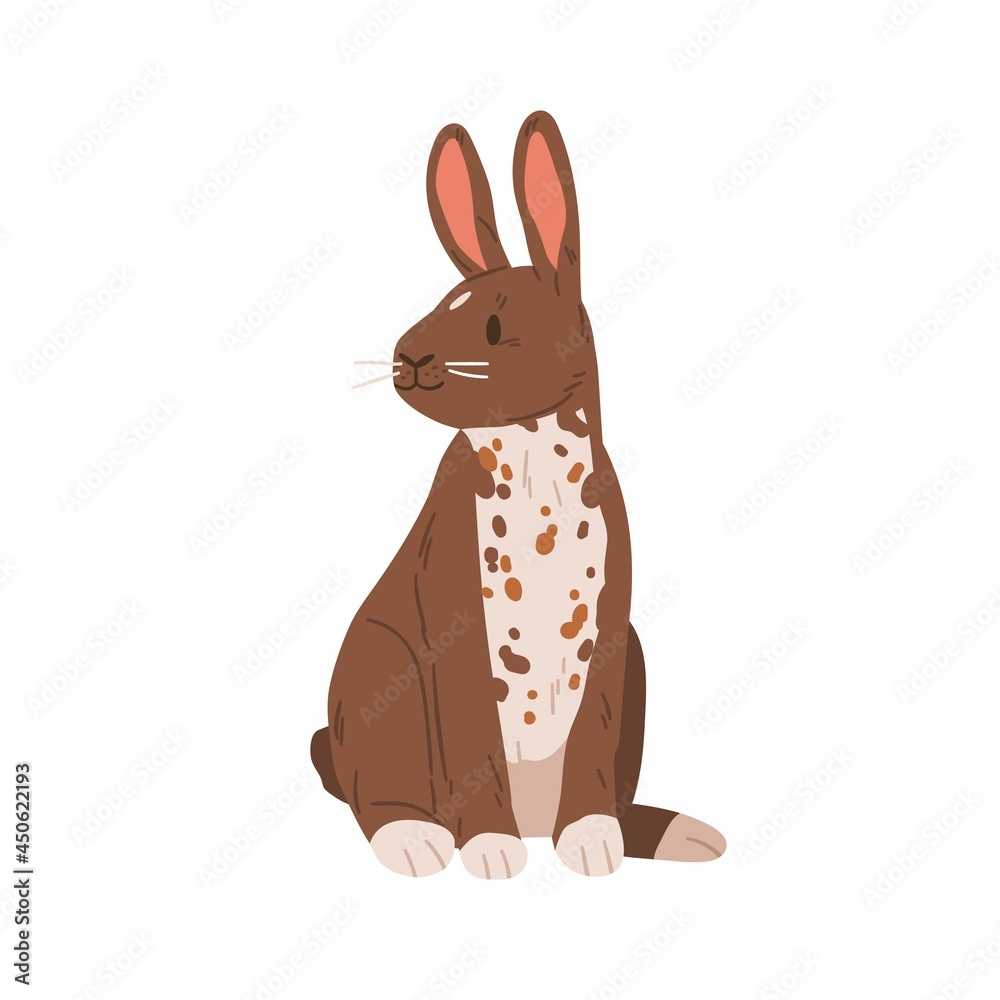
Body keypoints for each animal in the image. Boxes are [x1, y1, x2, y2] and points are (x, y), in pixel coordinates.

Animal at [311, 111, 725, 878]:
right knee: (374, 793)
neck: (535, 459)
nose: (406, 357)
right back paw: (417, 841)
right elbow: (474, 747)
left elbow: (592, 751)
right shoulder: (452, 630)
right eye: (441, 307)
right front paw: (490, 850)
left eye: (496, 328)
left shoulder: (611, 638)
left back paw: (671, 834)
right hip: (379, 669)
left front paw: (592, 844)